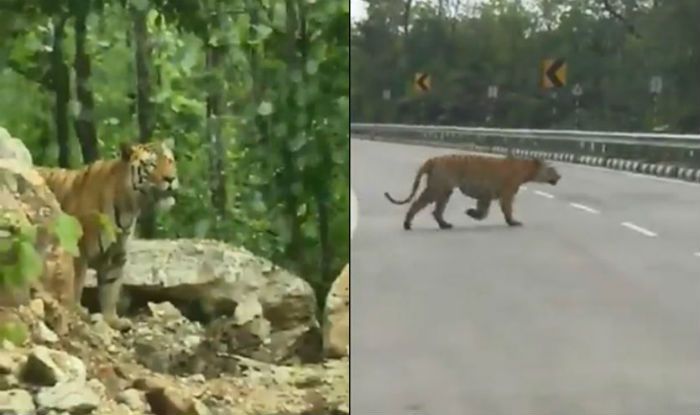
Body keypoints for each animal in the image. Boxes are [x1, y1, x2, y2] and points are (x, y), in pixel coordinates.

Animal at [35, 139, 179, 330]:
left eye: (169, 161)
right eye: (151, 164)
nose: (171, 179)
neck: (129, 206)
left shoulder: (116, 255)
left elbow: (110, 289)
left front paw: (113, 320)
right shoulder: (79, 249)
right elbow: (75, 282)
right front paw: (77, 310)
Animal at [384, 153, 561, 230]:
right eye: (552, 169)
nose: (559, 176)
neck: (526, 170)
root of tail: (432, 159)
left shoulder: (486, 194)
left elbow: (483, 211)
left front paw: (471, 213)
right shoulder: (507, 193)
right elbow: (507, 209)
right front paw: (513, 222)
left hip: (445, 190)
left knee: (437, 210)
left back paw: (445, 224)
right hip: (437, 188)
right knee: (418, 204)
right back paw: (407, 224)